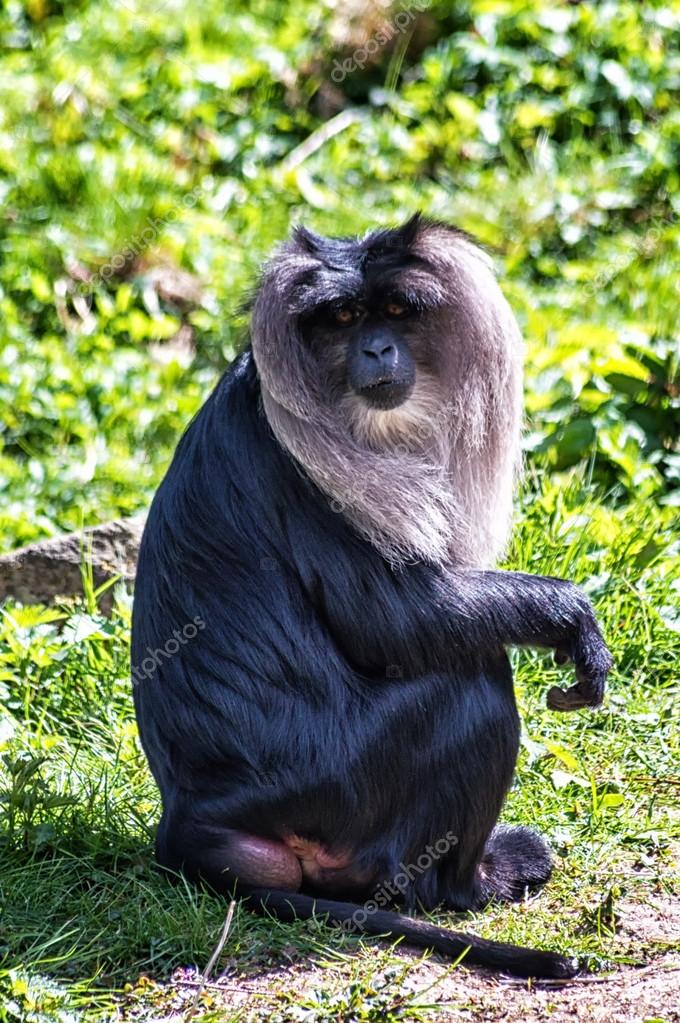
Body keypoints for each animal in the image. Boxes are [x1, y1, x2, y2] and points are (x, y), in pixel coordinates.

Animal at [131, 214, 612, 978]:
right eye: (344, 318)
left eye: (394, 311)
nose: (377, 348)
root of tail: (191, 815)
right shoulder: (305, 469)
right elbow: (391, 622)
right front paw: (573, 619)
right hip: (337, 790)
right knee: (471, 682)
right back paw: (473, 882)